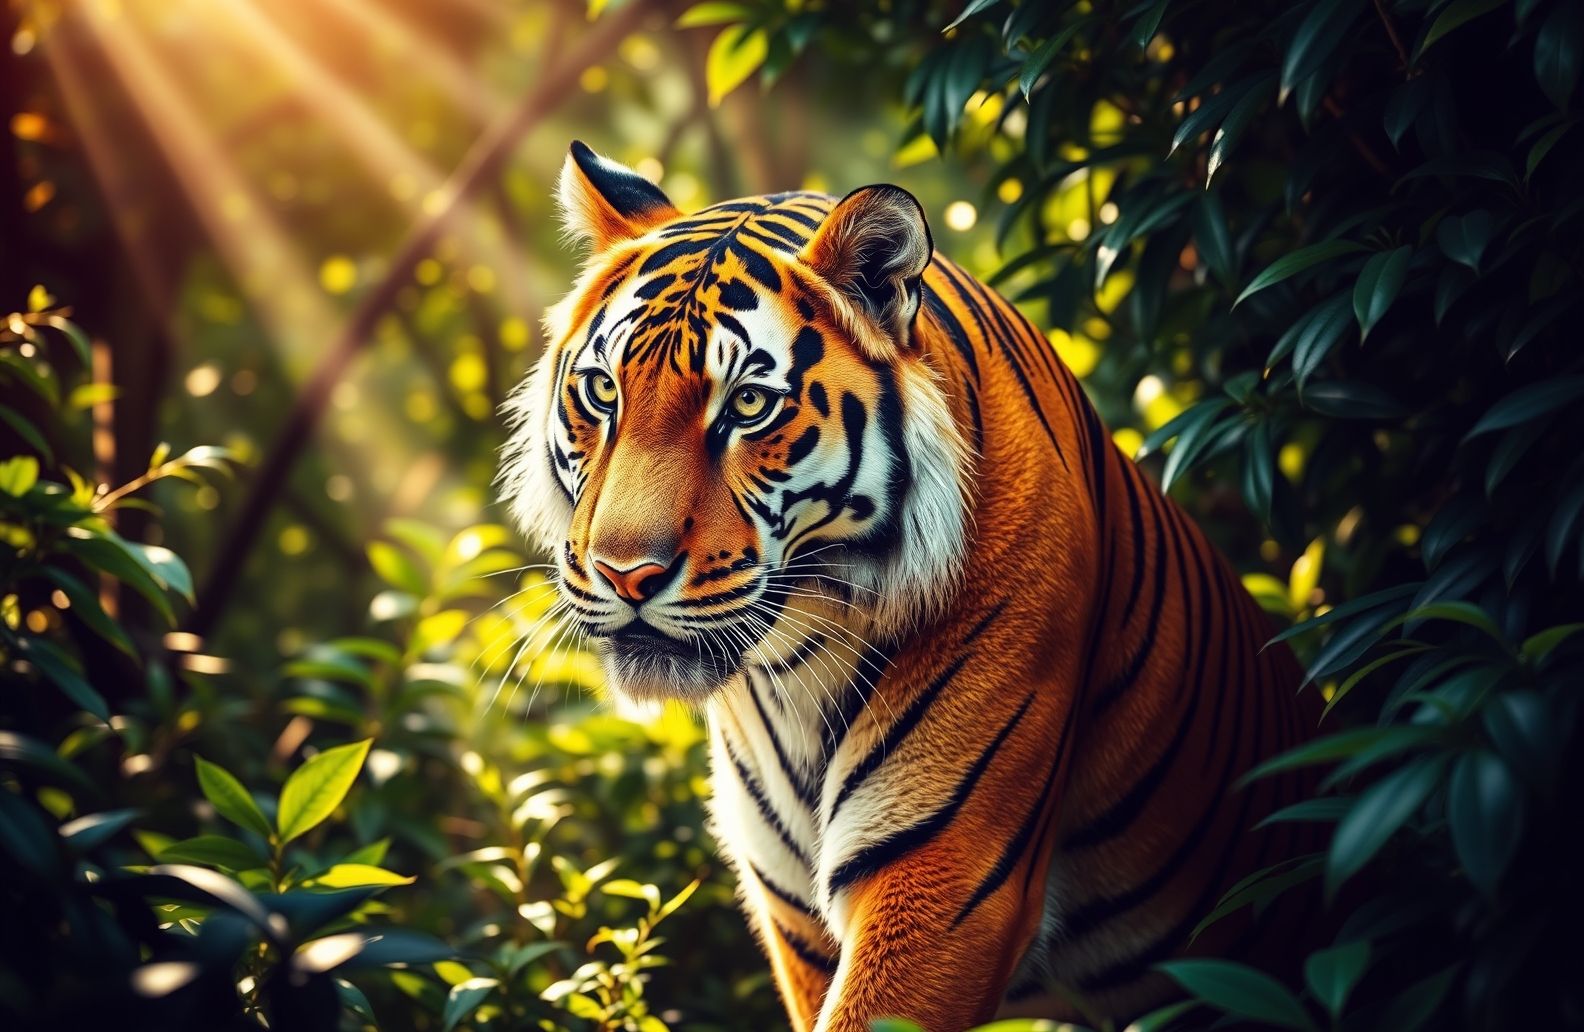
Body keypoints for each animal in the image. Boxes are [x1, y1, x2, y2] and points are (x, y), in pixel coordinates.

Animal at [498, 141, 1320, 1032]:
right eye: (603, 391)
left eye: (747, 405)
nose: (625, 574)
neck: (792, 666)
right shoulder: (796, 920)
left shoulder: (944, 876)